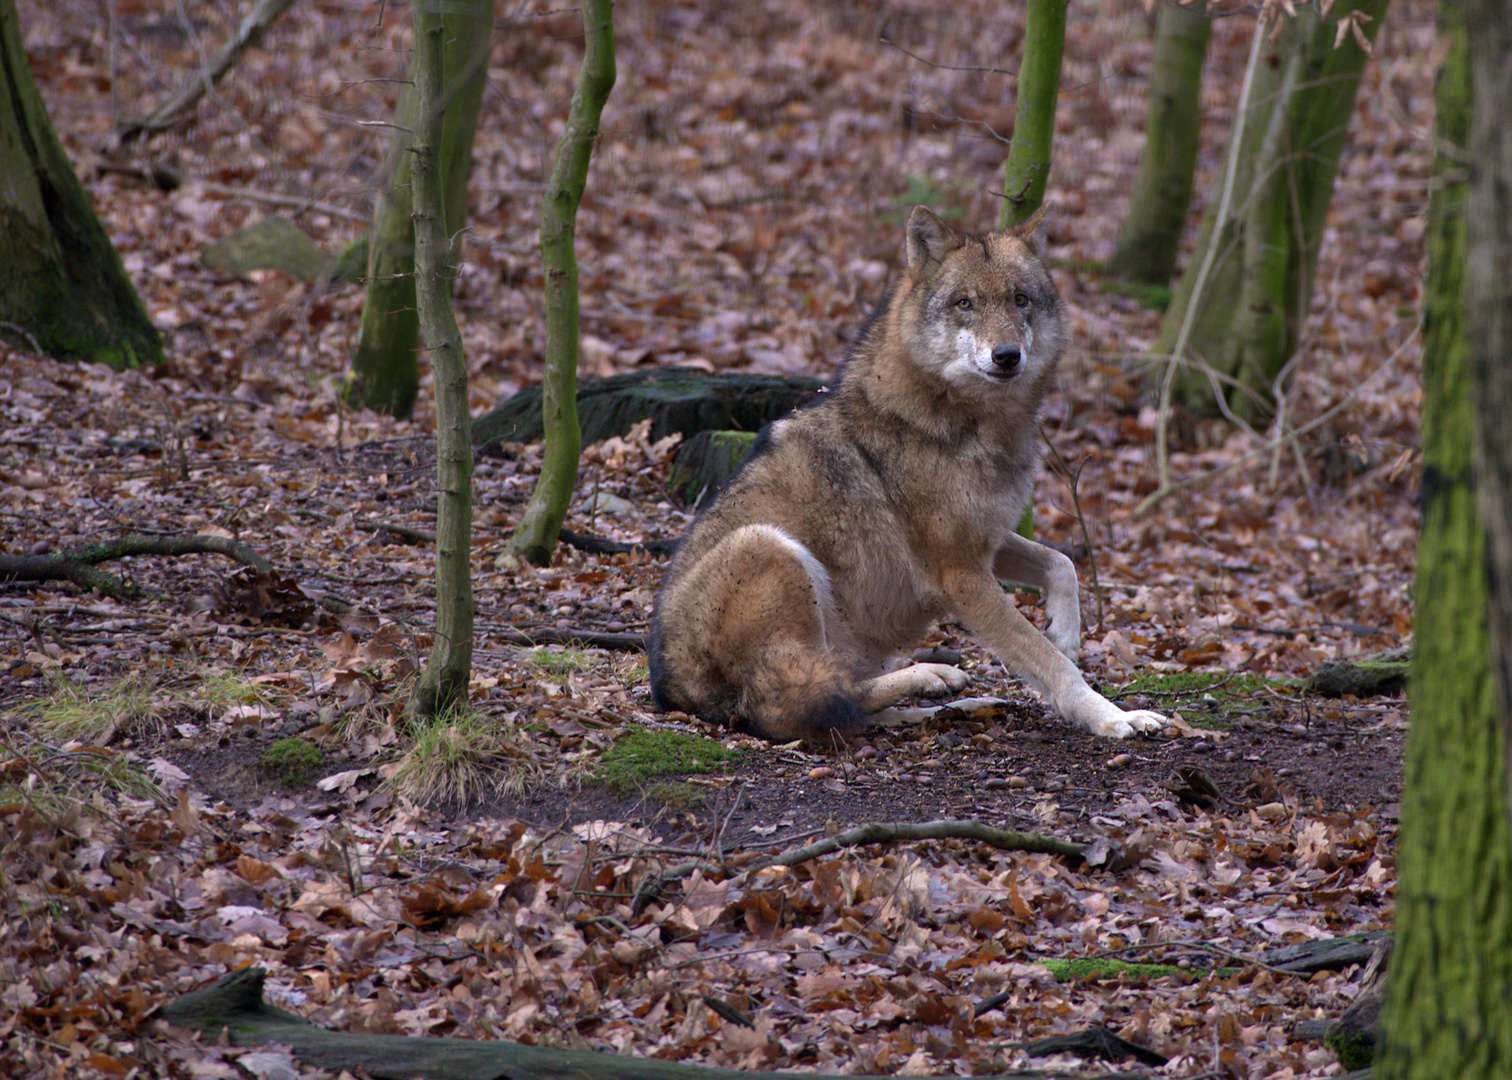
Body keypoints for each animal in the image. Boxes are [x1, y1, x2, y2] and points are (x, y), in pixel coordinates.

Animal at [644, 204, 1161, 741]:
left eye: (1020, 299)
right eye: (965, 303)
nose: (1006, 356)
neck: (963, 421)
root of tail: (670, 694)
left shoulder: (988, 540)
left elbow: (1061, 563)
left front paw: (1066, 632)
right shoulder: (959, 572)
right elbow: (1047, 661)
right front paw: (1111, 715)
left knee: (845, 704)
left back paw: (949, 702)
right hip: (767, 545)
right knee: (795, 701)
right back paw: (935, 676)